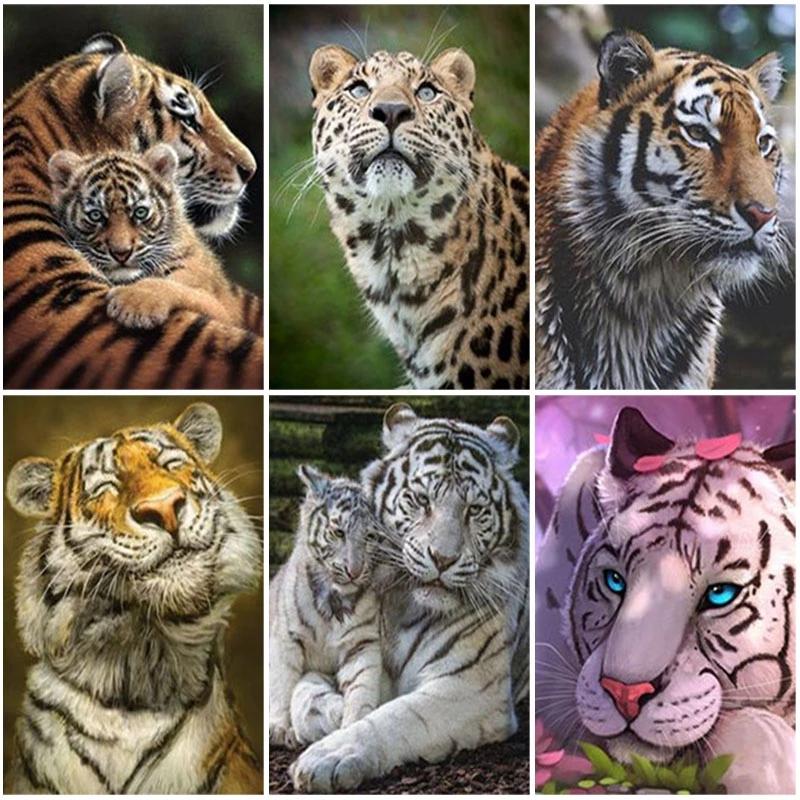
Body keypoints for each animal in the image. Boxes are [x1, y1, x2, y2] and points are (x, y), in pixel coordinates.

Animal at [49, 145, 262, 333]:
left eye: (140, 212)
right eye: (96, 216)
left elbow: (177, 288)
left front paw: (134, 304)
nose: (121, 253)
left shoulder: (219, 307)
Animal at [269, 467, 384, 749]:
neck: (334, 600)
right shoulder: (286, 638)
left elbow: (361, 685)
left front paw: (354, 724)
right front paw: (278, 728)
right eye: (338, 532)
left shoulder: (361, 642)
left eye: (370, 537)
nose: (354, 571)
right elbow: (282, 683)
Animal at [289, 403, 529, 791]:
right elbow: (303, 692)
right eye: (421, 500)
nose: (443, 559)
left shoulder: (472, 686)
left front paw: (326, 757)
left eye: (473, 510)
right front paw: (335, 714)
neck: (404, 606)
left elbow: (395, 717)